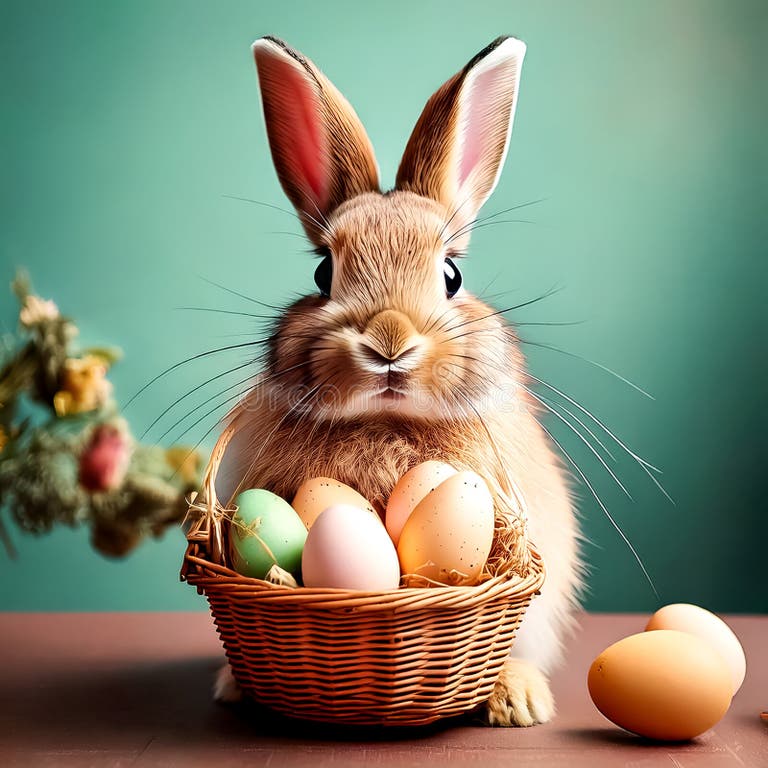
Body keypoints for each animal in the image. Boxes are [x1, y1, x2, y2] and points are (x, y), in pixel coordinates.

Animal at [212, 35, 581, 727]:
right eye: (323, 274)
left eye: (453, 275)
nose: (389, 342)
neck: (388, 422)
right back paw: (231, 686)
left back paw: (519, 700)